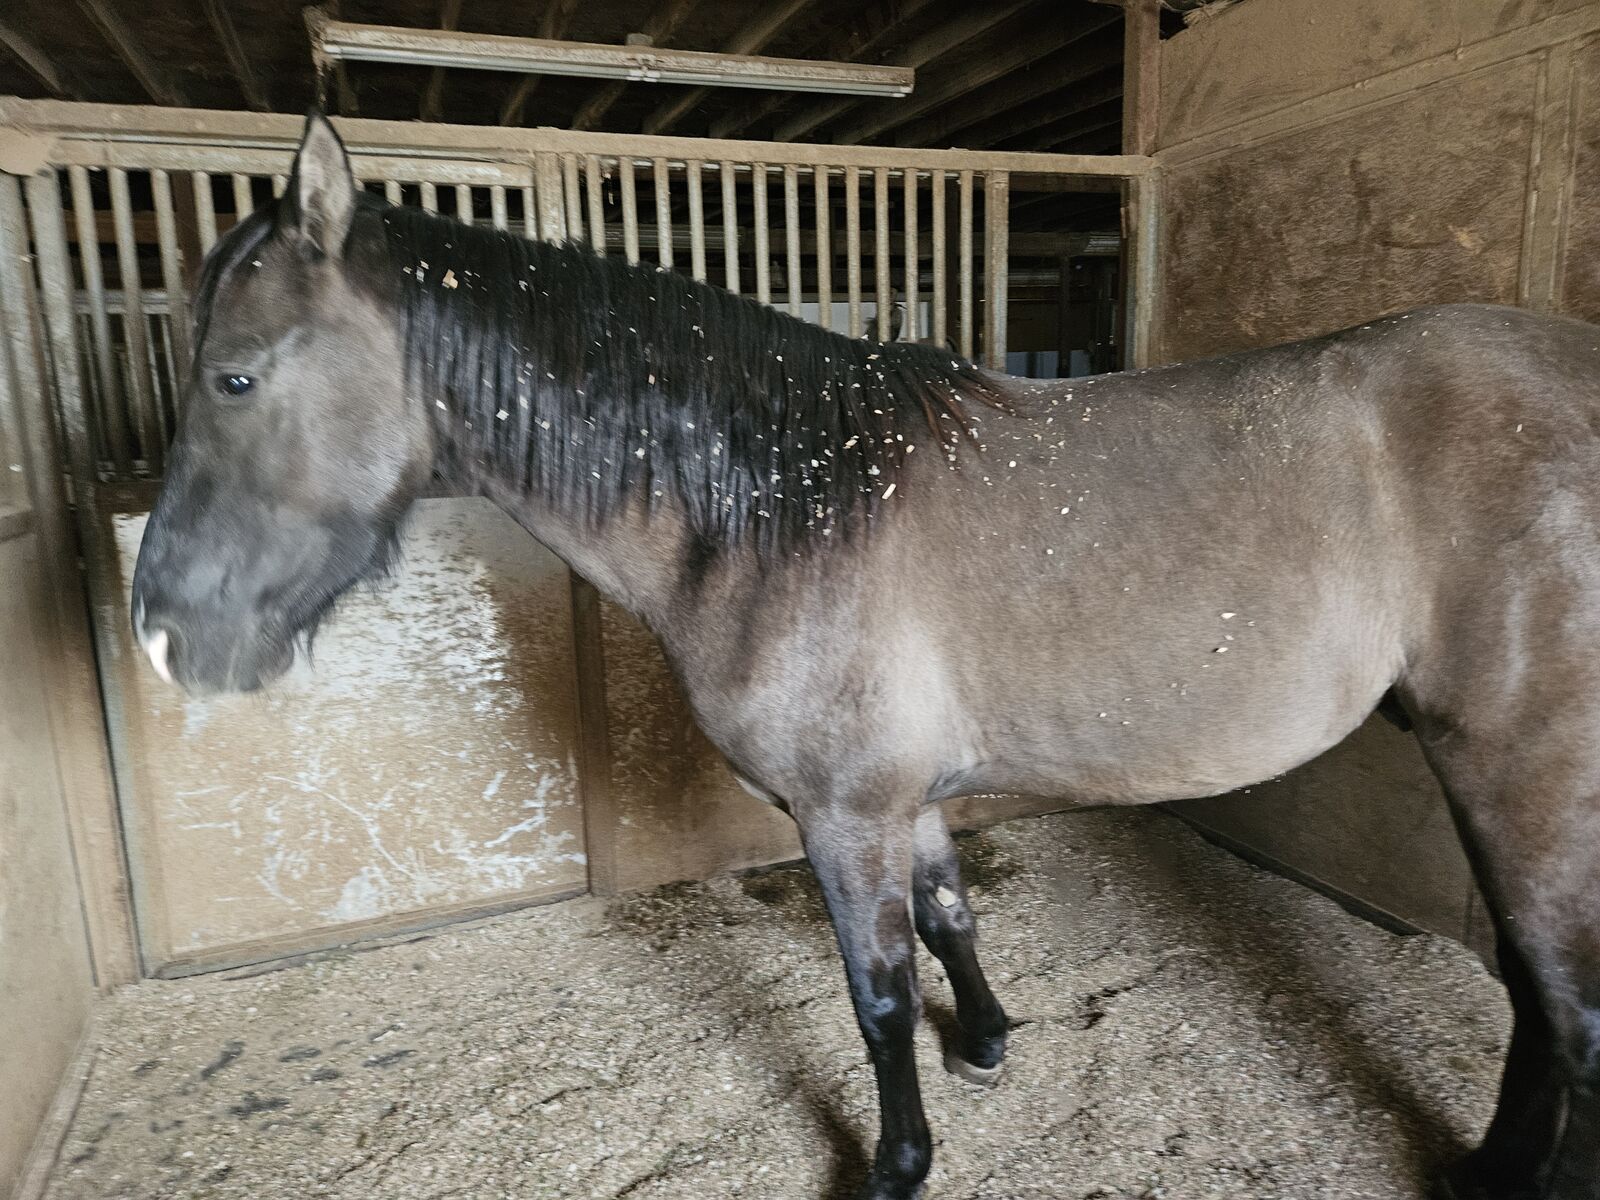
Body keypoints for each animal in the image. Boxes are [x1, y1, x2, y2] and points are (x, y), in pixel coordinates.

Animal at [131, 113, 1600, 1200]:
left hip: (1521, 778)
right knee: (1539, 1001)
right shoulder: (902, 800)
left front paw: (896, 1163)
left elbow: (877, 997)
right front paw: (989, 1046)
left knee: (1563, 1005)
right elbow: (949, 922)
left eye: (237, 377)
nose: (159, 632)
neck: (779, 509)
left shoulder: (843, 814)